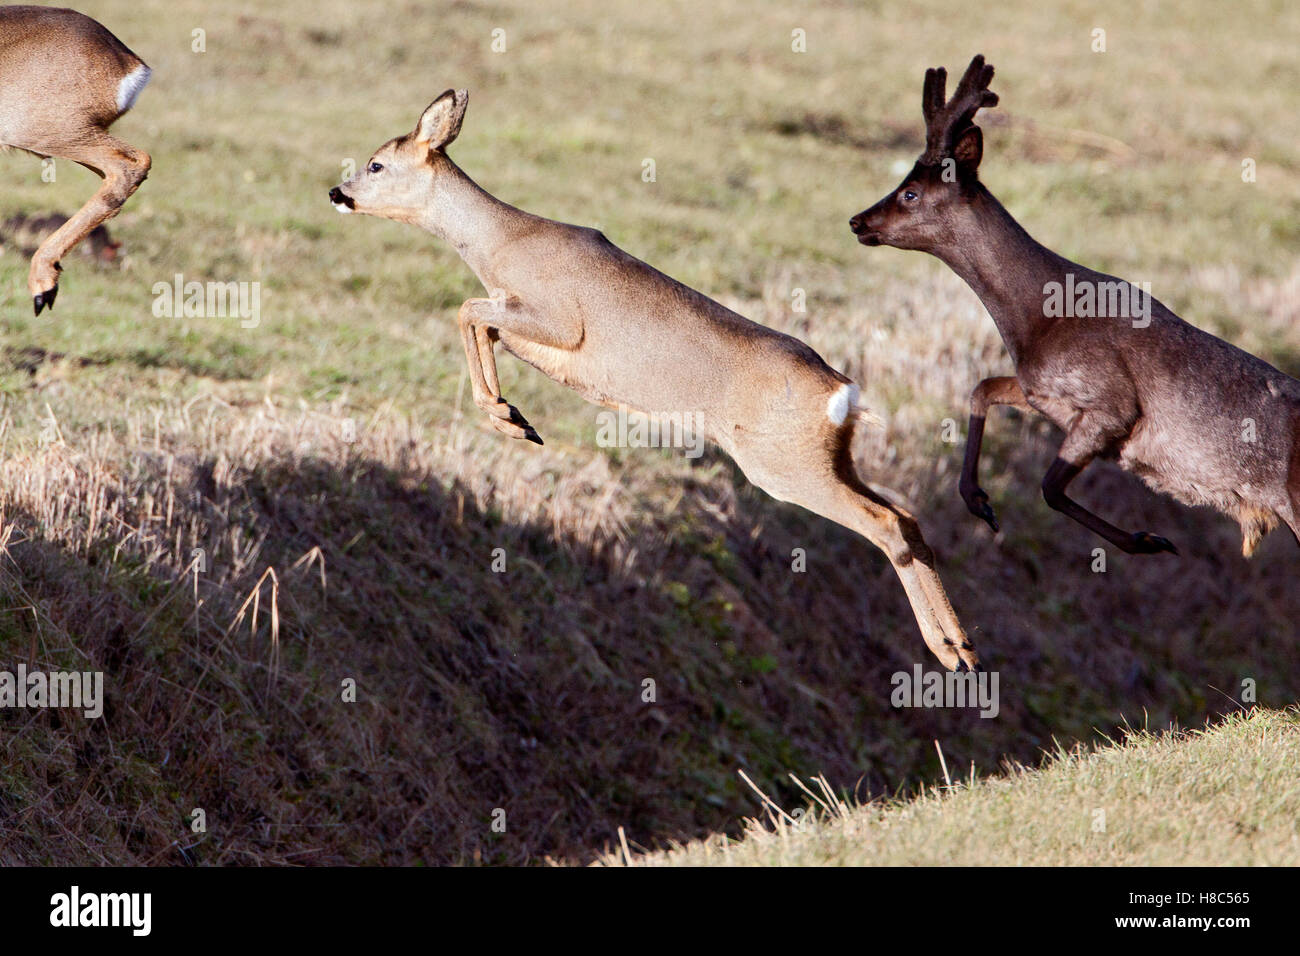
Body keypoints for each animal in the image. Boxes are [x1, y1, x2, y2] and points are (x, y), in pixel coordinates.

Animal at [329, 90, 982, 672]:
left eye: (377, 163)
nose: (337, 192)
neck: (499, 245)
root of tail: (841, 393)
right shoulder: (530, 334)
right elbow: (480, 324)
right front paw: (512, 418)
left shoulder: (561, 320)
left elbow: (465, 309)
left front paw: (509, 417)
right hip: (830, 460)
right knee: (907, 516)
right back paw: (963, 648)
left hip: (784, 465)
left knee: (885, 523)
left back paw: (949, 651)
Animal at [850, 55, 1300, 560]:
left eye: (910, 193)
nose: (857, 221)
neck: (1036, 320)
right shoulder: (1041, 390)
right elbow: (982, 388)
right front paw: (978, 502)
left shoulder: (1111, 404)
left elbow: (1049, 487)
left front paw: (1149, 540)